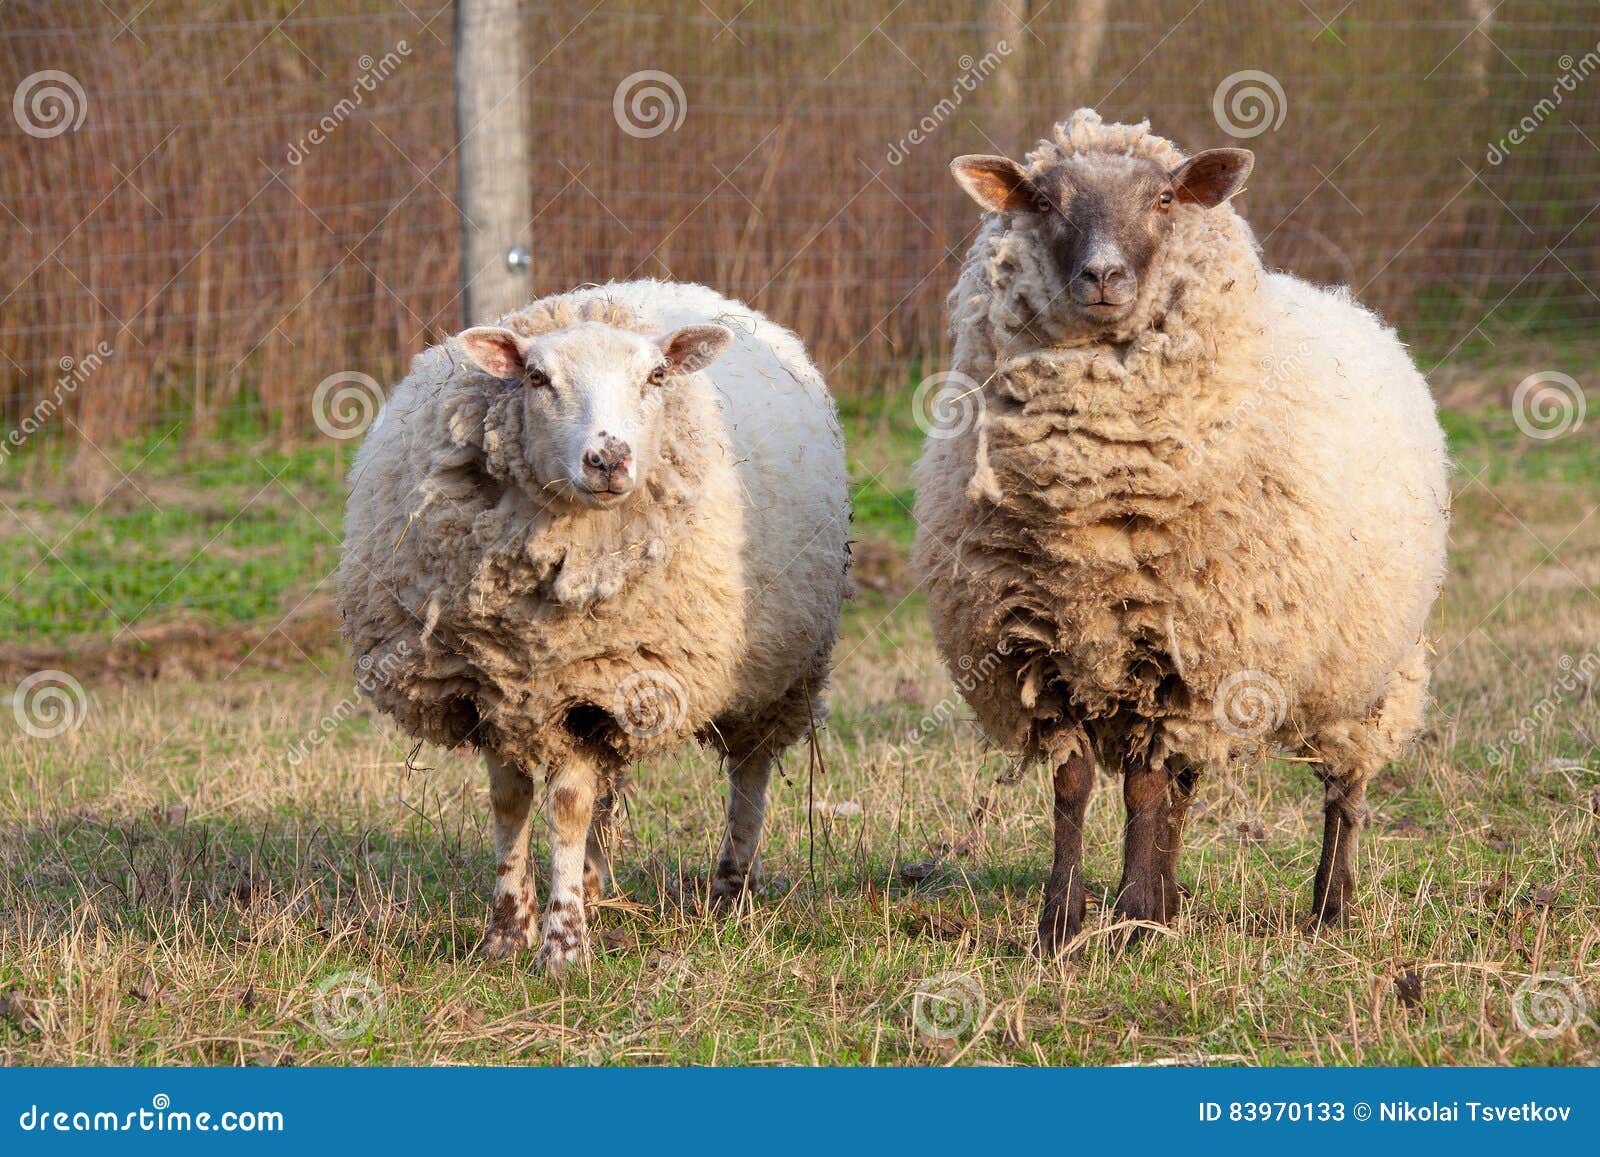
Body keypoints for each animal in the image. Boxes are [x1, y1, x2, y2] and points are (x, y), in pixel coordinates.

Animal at [336, 279, 850, 972]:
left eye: (656, 376)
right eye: (536, 377)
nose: (608, 459)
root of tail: (672, 285)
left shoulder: (588, 685)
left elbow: (569, 806)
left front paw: (562, 945)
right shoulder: (493, 687)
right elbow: (510, 803)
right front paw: (505, 935)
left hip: (774, 673)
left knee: (749, 772)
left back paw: (727, 891)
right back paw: (596, 885)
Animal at [913, 109, 1450, 956]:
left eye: (1164, 199)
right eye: (1044, 200)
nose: (1102, 276)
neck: (1092, 521)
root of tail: (1346, 303)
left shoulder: (1183, 652)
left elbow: (1141, 786)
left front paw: (1132, 919)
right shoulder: (1049, 650)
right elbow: (1077, 785)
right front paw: (1064, 923)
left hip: (1370, 664)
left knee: (1344, 784)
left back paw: (1329, 906)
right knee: (1187, 784)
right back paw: (1173, 897)